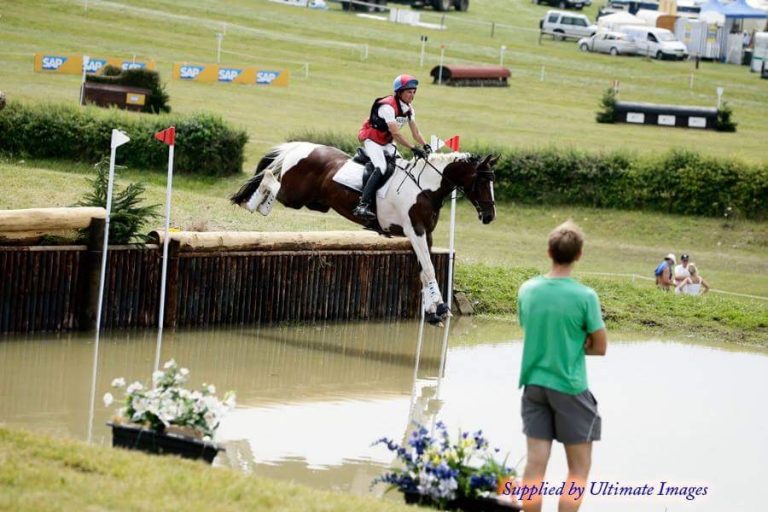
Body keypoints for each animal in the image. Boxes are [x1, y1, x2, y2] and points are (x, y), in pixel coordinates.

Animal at [231, 141, 498, 325]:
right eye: (482, 182)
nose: (489, 216)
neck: (425, 188)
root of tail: (301, 146)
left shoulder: (425, 234)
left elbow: (424, 271)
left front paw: (432, 313)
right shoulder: (415, 231)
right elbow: (430, 268)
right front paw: (441, 309)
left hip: (314, 201)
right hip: (294, 194)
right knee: (270, 179)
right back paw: (251, 203)